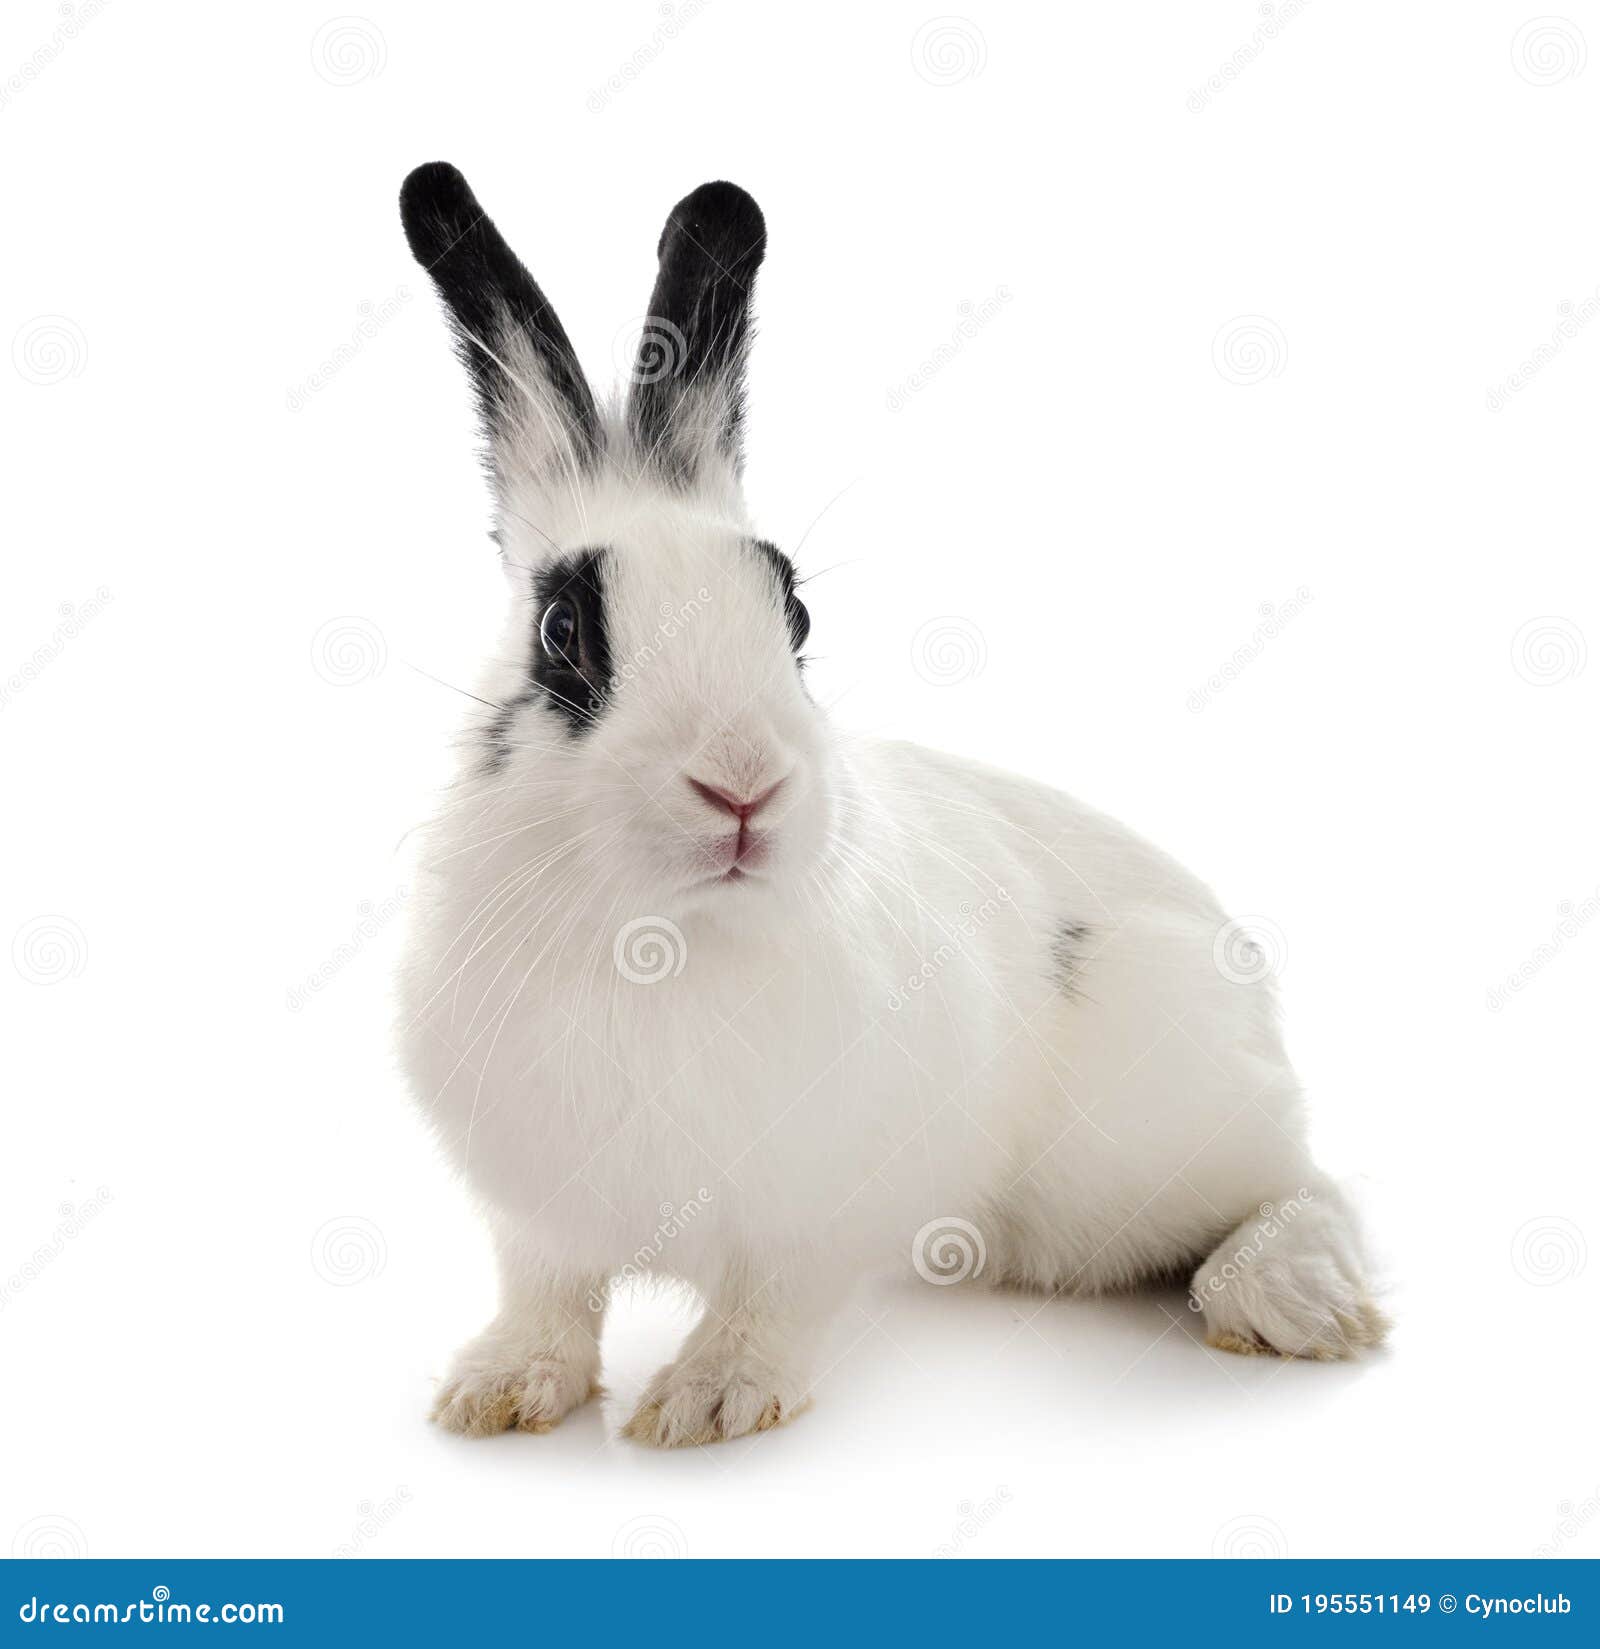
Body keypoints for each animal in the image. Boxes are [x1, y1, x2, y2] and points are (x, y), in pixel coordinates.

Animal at [395, 163, 1387, 1448]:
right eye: (564, 632)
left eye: (794, 615)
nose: (743, 783)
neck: (661, 939)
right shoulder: (536, 1216)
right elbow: (547, 1297)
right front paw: (497, 1389)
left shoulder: (816, 1205)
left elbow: (770, 1300)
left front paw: (707, 1400)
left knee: (1299, 1182)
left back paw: (1291, 1296)